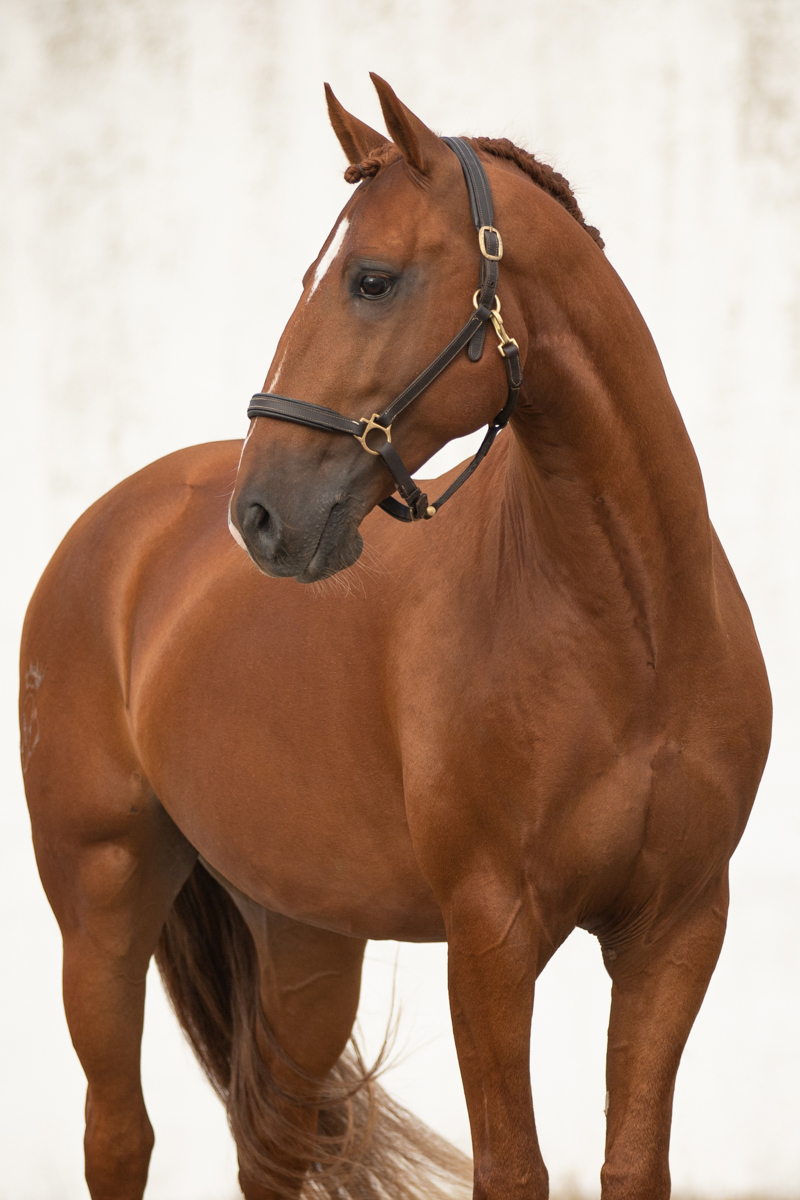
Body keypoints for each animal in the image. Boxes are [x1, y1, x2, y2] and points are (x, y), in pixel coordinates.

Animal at [20, 74, 771, 1200]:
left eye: (370, 280)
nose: (261, 516)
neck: (633, 630)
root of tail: (114, 533)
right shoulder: (491, 937)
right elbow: (512, 1170)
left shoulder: (675, 930)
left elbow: (633, 1165)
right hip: (102, 898)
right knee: (119, 1137)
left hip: (305, 939)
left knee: (270, 1147)